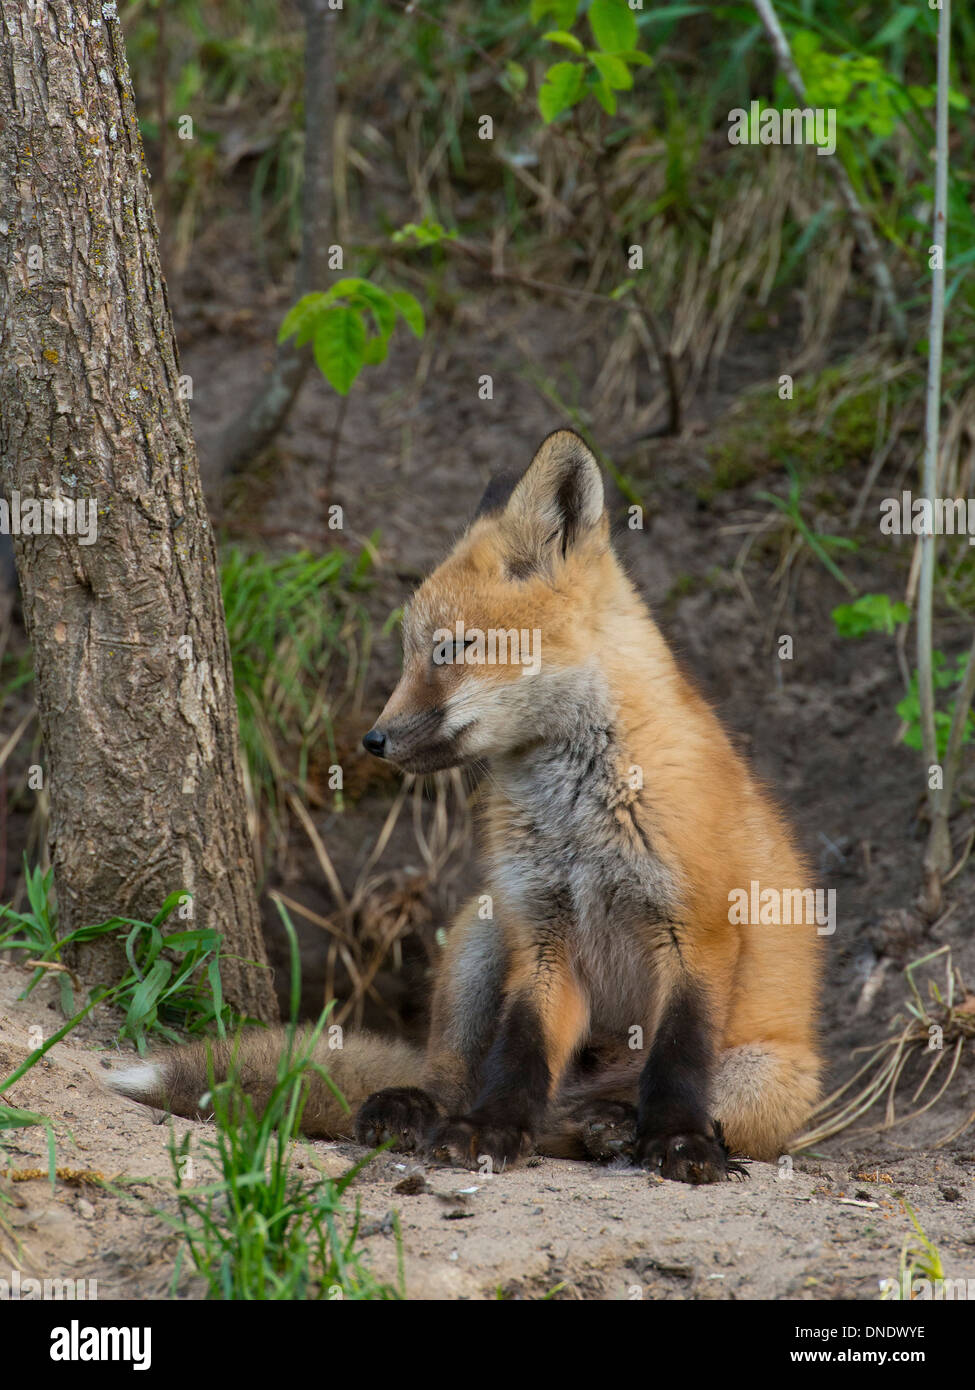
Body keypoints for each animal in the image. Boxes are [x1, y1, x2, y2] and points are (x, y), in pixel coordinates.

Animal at [109, 430, 822, 1183]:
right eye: (408, 654)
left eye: (449, 649)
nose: (374, 740)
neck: (579, 811)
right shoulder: (539, 931)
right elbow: (518, 1052)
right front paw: (488, 1129)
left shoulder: (697, 931)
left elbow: (678, 1059)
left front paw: (679, 1141)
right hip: (481, 930)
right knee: (460, 1075)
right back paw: (426, 1111)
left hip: (765, 1079)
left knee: (604, 1108)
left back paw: (611, 1125)